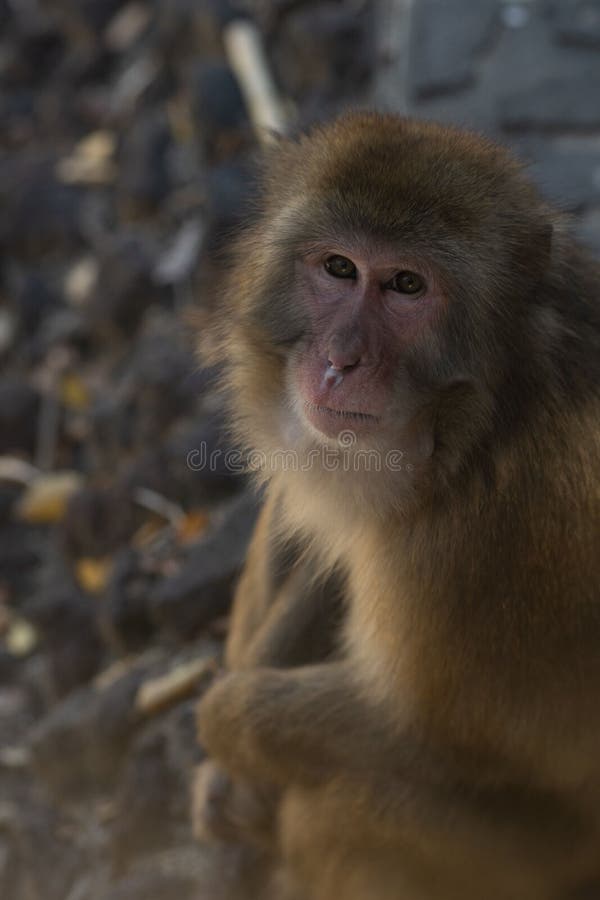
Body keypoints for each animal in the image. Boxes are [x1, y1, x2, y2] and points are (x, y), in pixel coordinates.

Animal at [195, 112, 600, 900]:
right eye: (339, 269)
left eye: (407, 285)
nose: (340, 361)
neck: (491, 416)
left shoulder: (477, 549)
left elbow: (455, 741)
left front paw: (226, 724)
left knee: (336, 815)